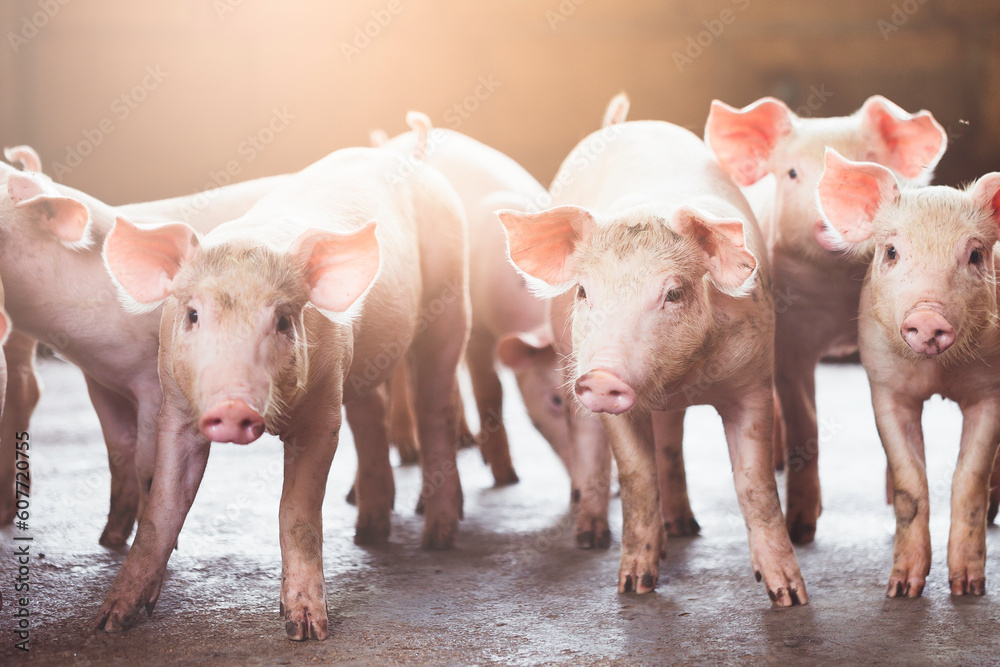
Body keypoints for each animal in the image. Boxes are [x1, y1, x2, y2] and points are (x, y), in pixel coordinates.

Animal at [97, 147, 469, 639]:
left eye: (284, 321)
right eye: (193, 315)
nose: (232, 408)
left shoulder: (322, 414)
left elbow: (296, 513)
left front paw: (306, 630)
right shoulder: (174, 407)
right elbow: (161, 510)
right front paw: (109, 621)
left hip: (450, 301)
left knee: (435, 407)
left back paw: (438, 540)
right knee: (372, 414)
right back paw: (368, 534)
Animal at [380, 112, 573, 489]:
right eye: (555, 398)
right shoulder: (478, 330)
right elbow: (490, 392)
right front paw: (507, 478)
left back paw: (464, 441)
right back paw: (409, 451)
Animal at [499, 116, 807, 606]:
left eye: (674, 293)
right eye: (583, 291)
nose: (601, 376)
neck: (680, 380)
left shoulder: (754, 380)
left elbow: (755, 484)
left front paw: (790, 598)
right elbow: (636, 476)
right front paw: (634, 587)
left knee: (671, 441)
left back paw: (683, 528)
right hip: (570, 359)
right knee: (588, 439)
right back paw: (589, 537)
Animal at [705, 95, 948, 543]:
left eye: (869, 162)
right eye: (792, 173)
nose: (828, 223)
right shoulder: (790, 341)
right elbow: (807, 424)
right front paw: (802, 530)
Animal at [817, 148, 1000, 597]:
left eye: (975, 255)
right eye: (892, 252)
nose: (928, 317)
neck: (937, 376)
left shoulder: (990, 391)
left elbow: (969, 477)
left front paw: (968, 589)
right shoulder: (885, 387)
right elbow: (909, 481)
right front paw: (901, 590)